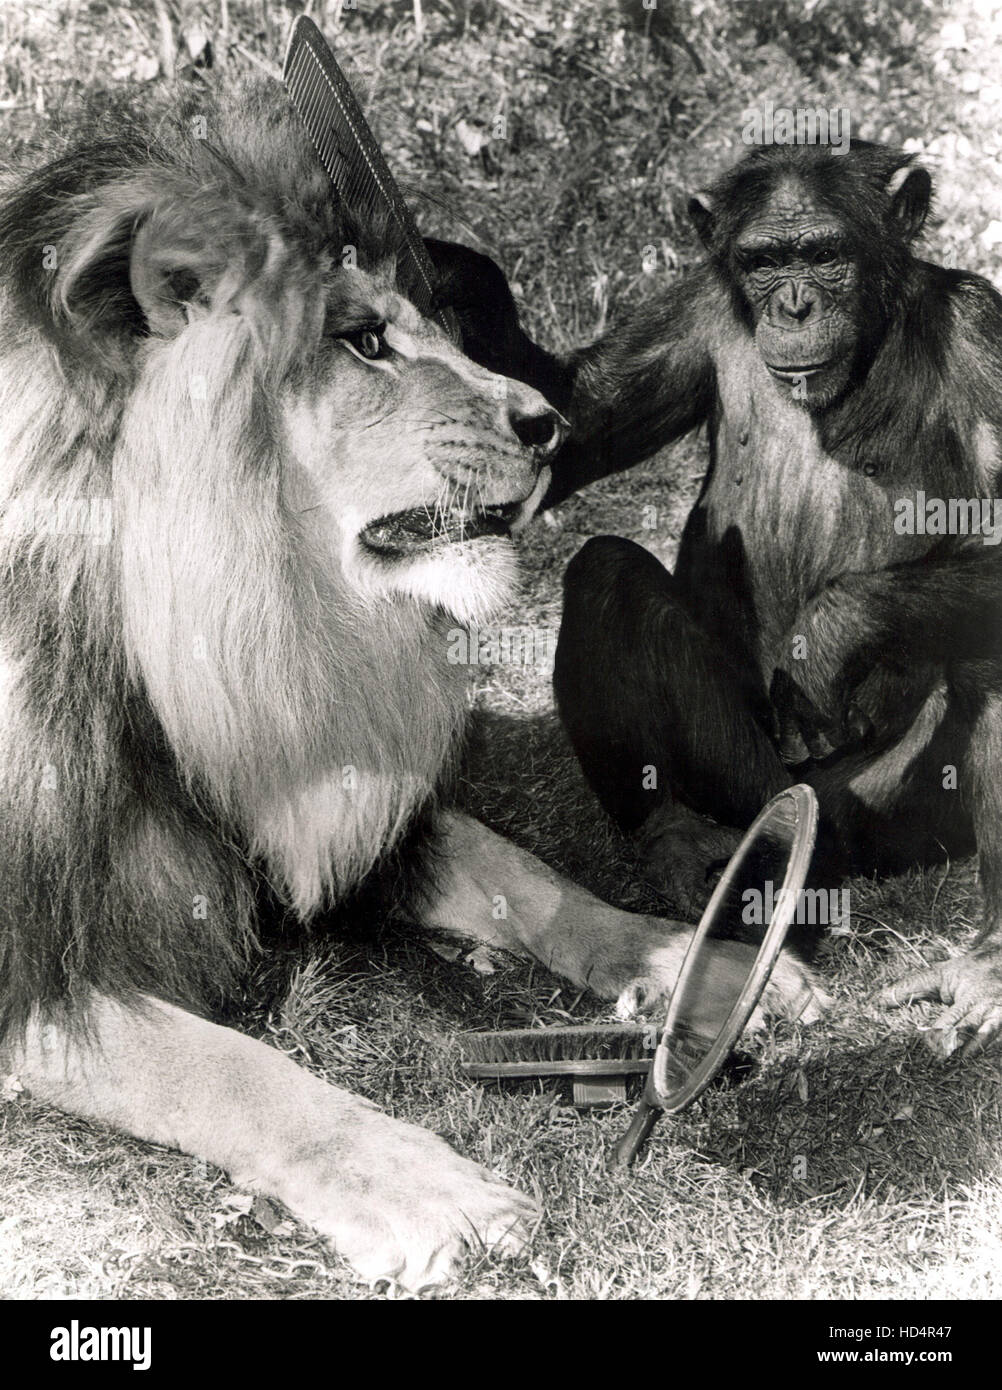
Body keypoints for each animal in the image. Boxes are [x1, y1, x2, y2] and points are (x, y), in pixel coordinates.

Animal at [0, 79, 823, 1291]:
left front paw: (700, 967)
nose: (549, 425)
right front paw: (423, 1187)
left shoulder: (354, 819)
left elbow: (534, 881)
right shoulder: (31, 965)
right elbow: (223, 1065)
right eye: (363, 341)